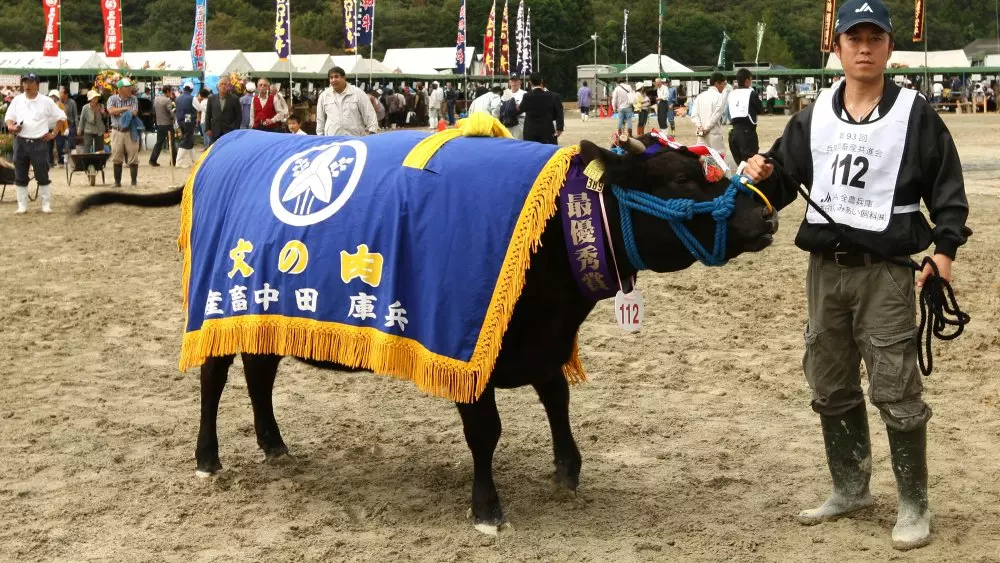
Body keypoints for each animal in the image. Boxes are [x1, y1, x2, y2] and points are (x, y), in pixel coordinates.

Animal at [80, 137, 780, 532]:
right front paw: (487, 510)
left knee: (260, 373)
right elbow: (486, 432)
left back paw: (275, 445)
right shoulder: (467, 346)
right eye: (683, 180)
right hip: (217, 305)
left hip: (263, 309)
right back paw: (208, 460)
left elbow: (557, 402)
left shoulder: (540, 343)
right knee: (214, 378)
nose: (766, 215)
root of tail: (223, 147)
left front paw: (568, 471)